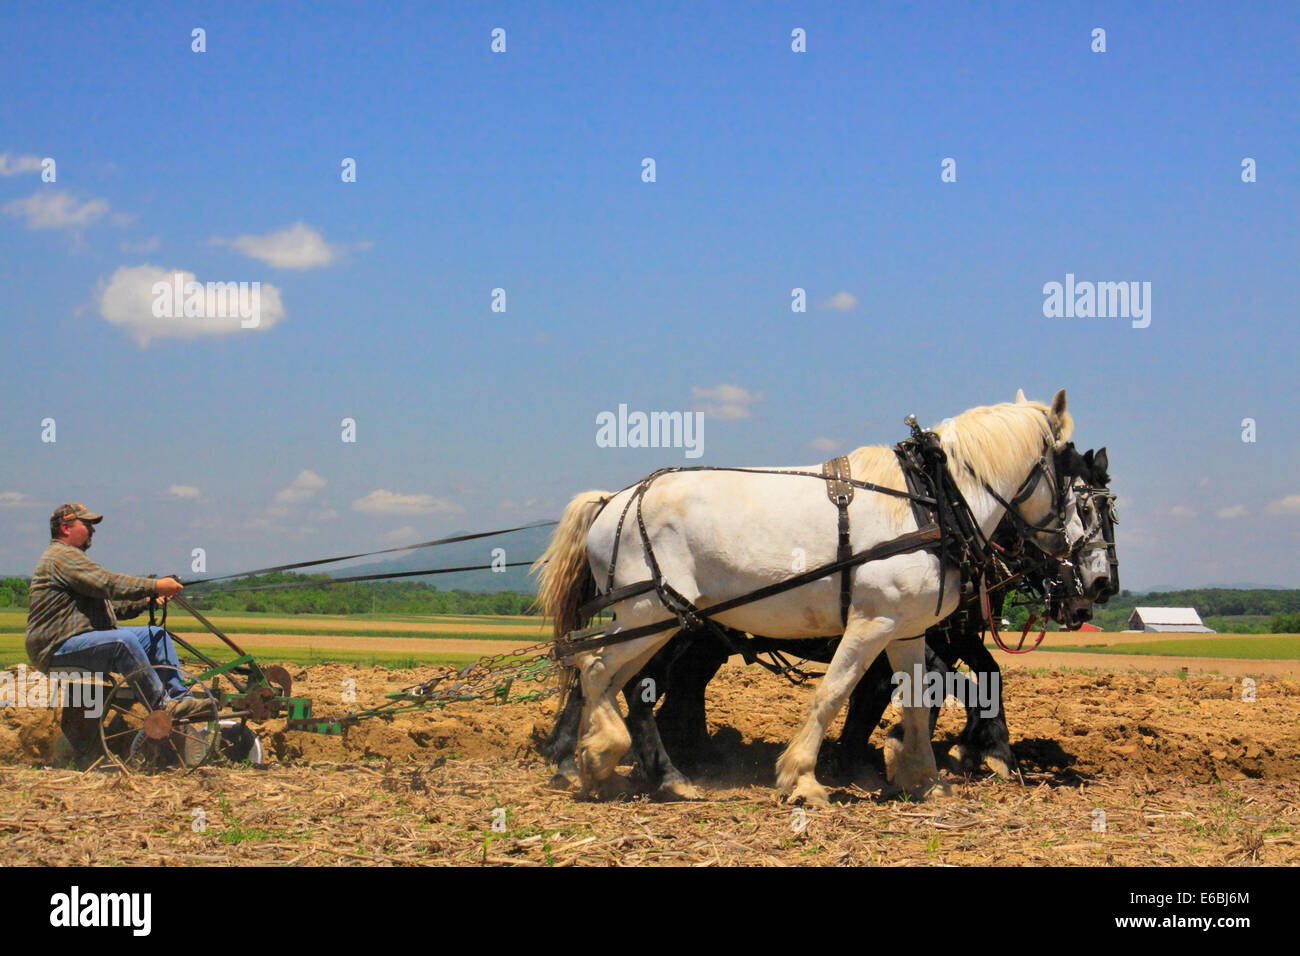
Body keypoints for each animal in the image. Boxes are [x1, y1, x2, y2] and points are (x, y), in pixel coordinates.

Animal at [535, 389, 1083, 804]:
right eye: (1073, 472)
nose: (1075, 550)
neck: (932, 501)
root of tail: (614, 500)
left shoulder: (907, 630)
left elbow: (913, 700)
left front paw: (922, 779)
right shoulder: (872, 622)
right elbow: (833, 693)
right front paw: (801, 777)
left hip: (660, 621)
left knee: (611, 676)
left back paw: (634, 769)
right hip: (650, 613)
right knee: (597, 670)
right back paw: (601, 760)